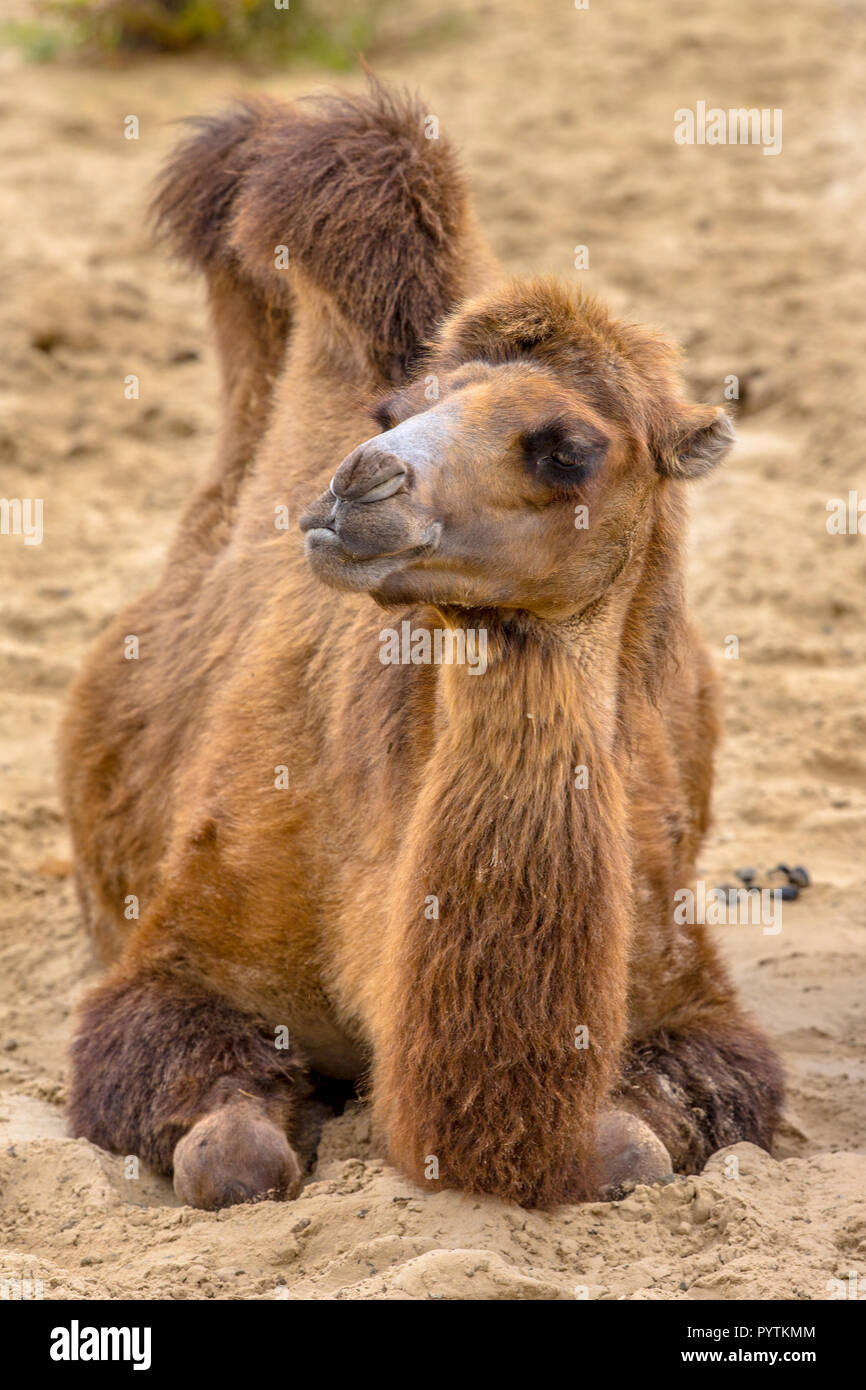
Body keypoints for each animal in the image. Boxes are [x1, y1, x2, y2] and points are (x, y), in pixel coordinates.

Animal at [60, 81, 783, 1210]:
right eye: (398, 407)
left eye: (566, 447)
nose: (357, 482)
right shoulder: (181, 956)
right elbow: (229, 1154)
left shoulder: (682, 988)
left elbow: (634, 1147)